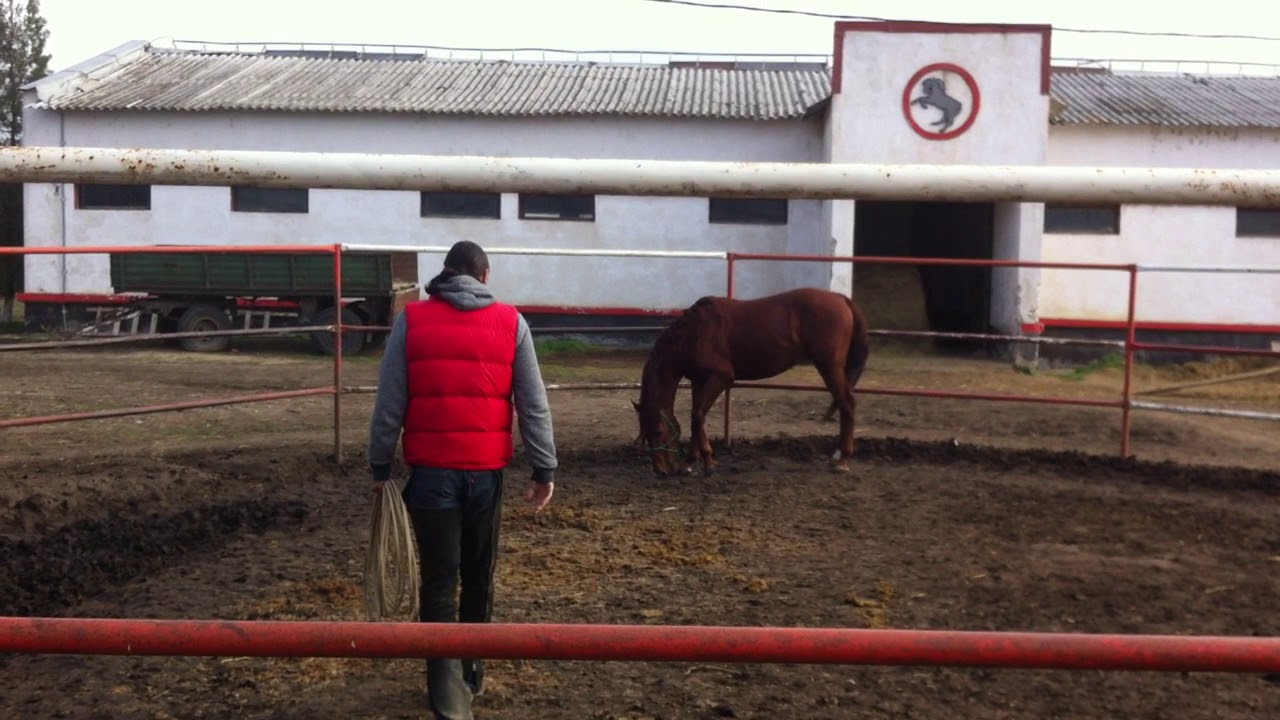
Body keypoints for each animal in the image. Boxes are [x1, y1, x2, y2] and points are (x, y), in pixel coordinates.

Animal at [632, 287, 870, 477]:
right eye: (644, 433)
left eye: (659, 431)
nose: (660, 471)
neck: (693, 334)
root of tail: (842, 299)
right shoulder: (699, 381)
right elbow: (696, 418)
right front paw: (689, 462)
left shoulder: (720, 378)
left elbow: (698, 416)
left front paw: (707, 463)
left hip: (829, 367)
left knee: (848, 405)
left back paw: (842, 460)